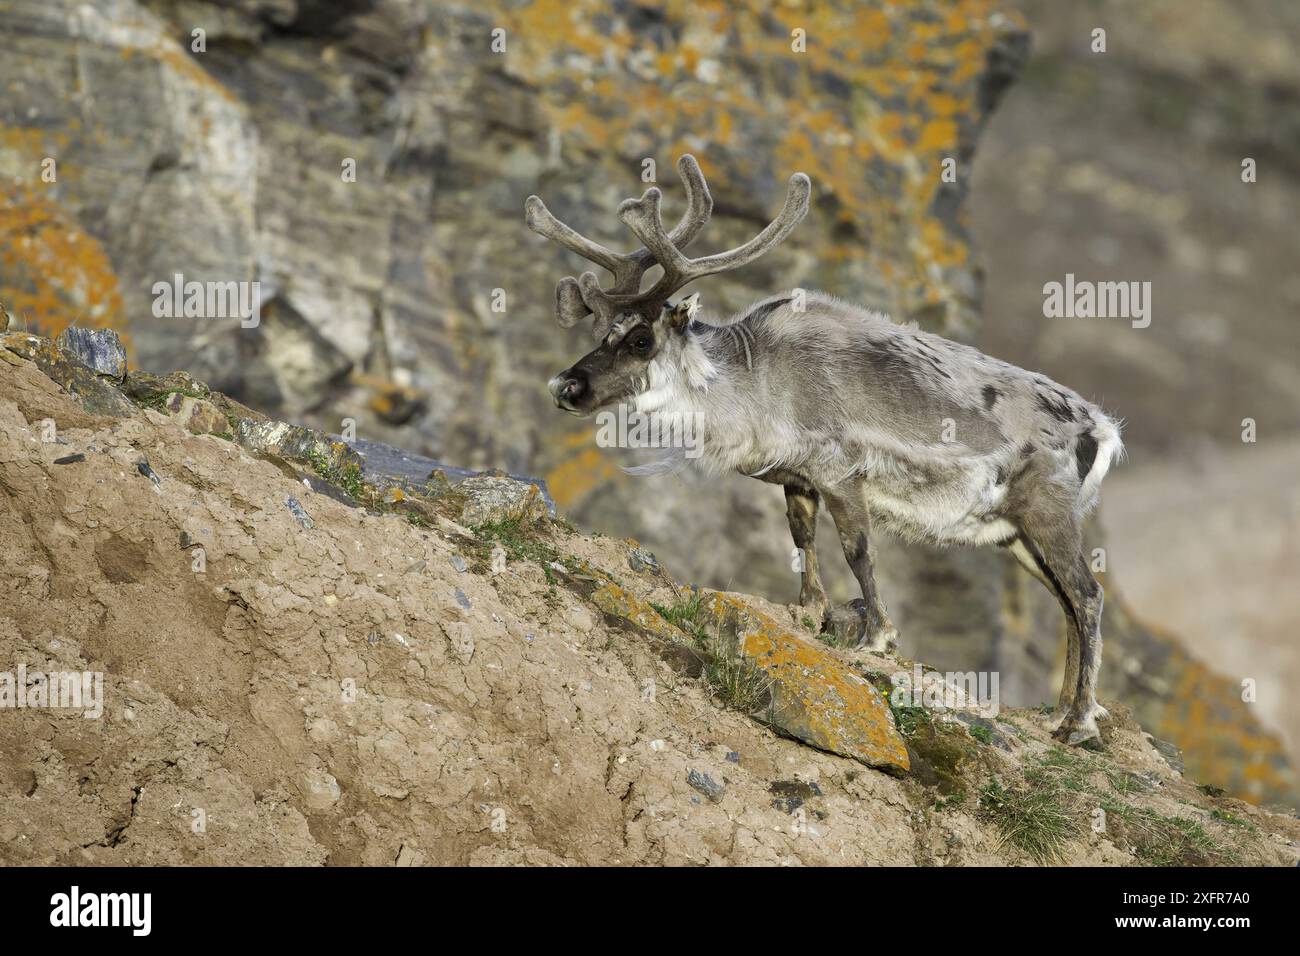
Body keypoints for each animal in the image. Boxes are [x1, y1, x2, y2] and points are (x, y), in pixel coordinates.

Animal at [524, 155, 1123, 746]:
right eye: (601, 332)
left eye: (640, 339)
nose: (564, 386)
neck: (752, 386)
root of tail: (1101, 428)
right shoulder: (797, 479)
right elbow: (803, 539)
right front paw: (810, 610)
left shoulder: (840, 473)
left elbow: (858, 551)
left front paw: (877, 635)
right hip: (1016, 534)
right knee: (1067, 603)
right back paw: (1060, 713)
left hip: (1047, 514)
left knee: (1088, 594)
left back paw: (1080, 723)